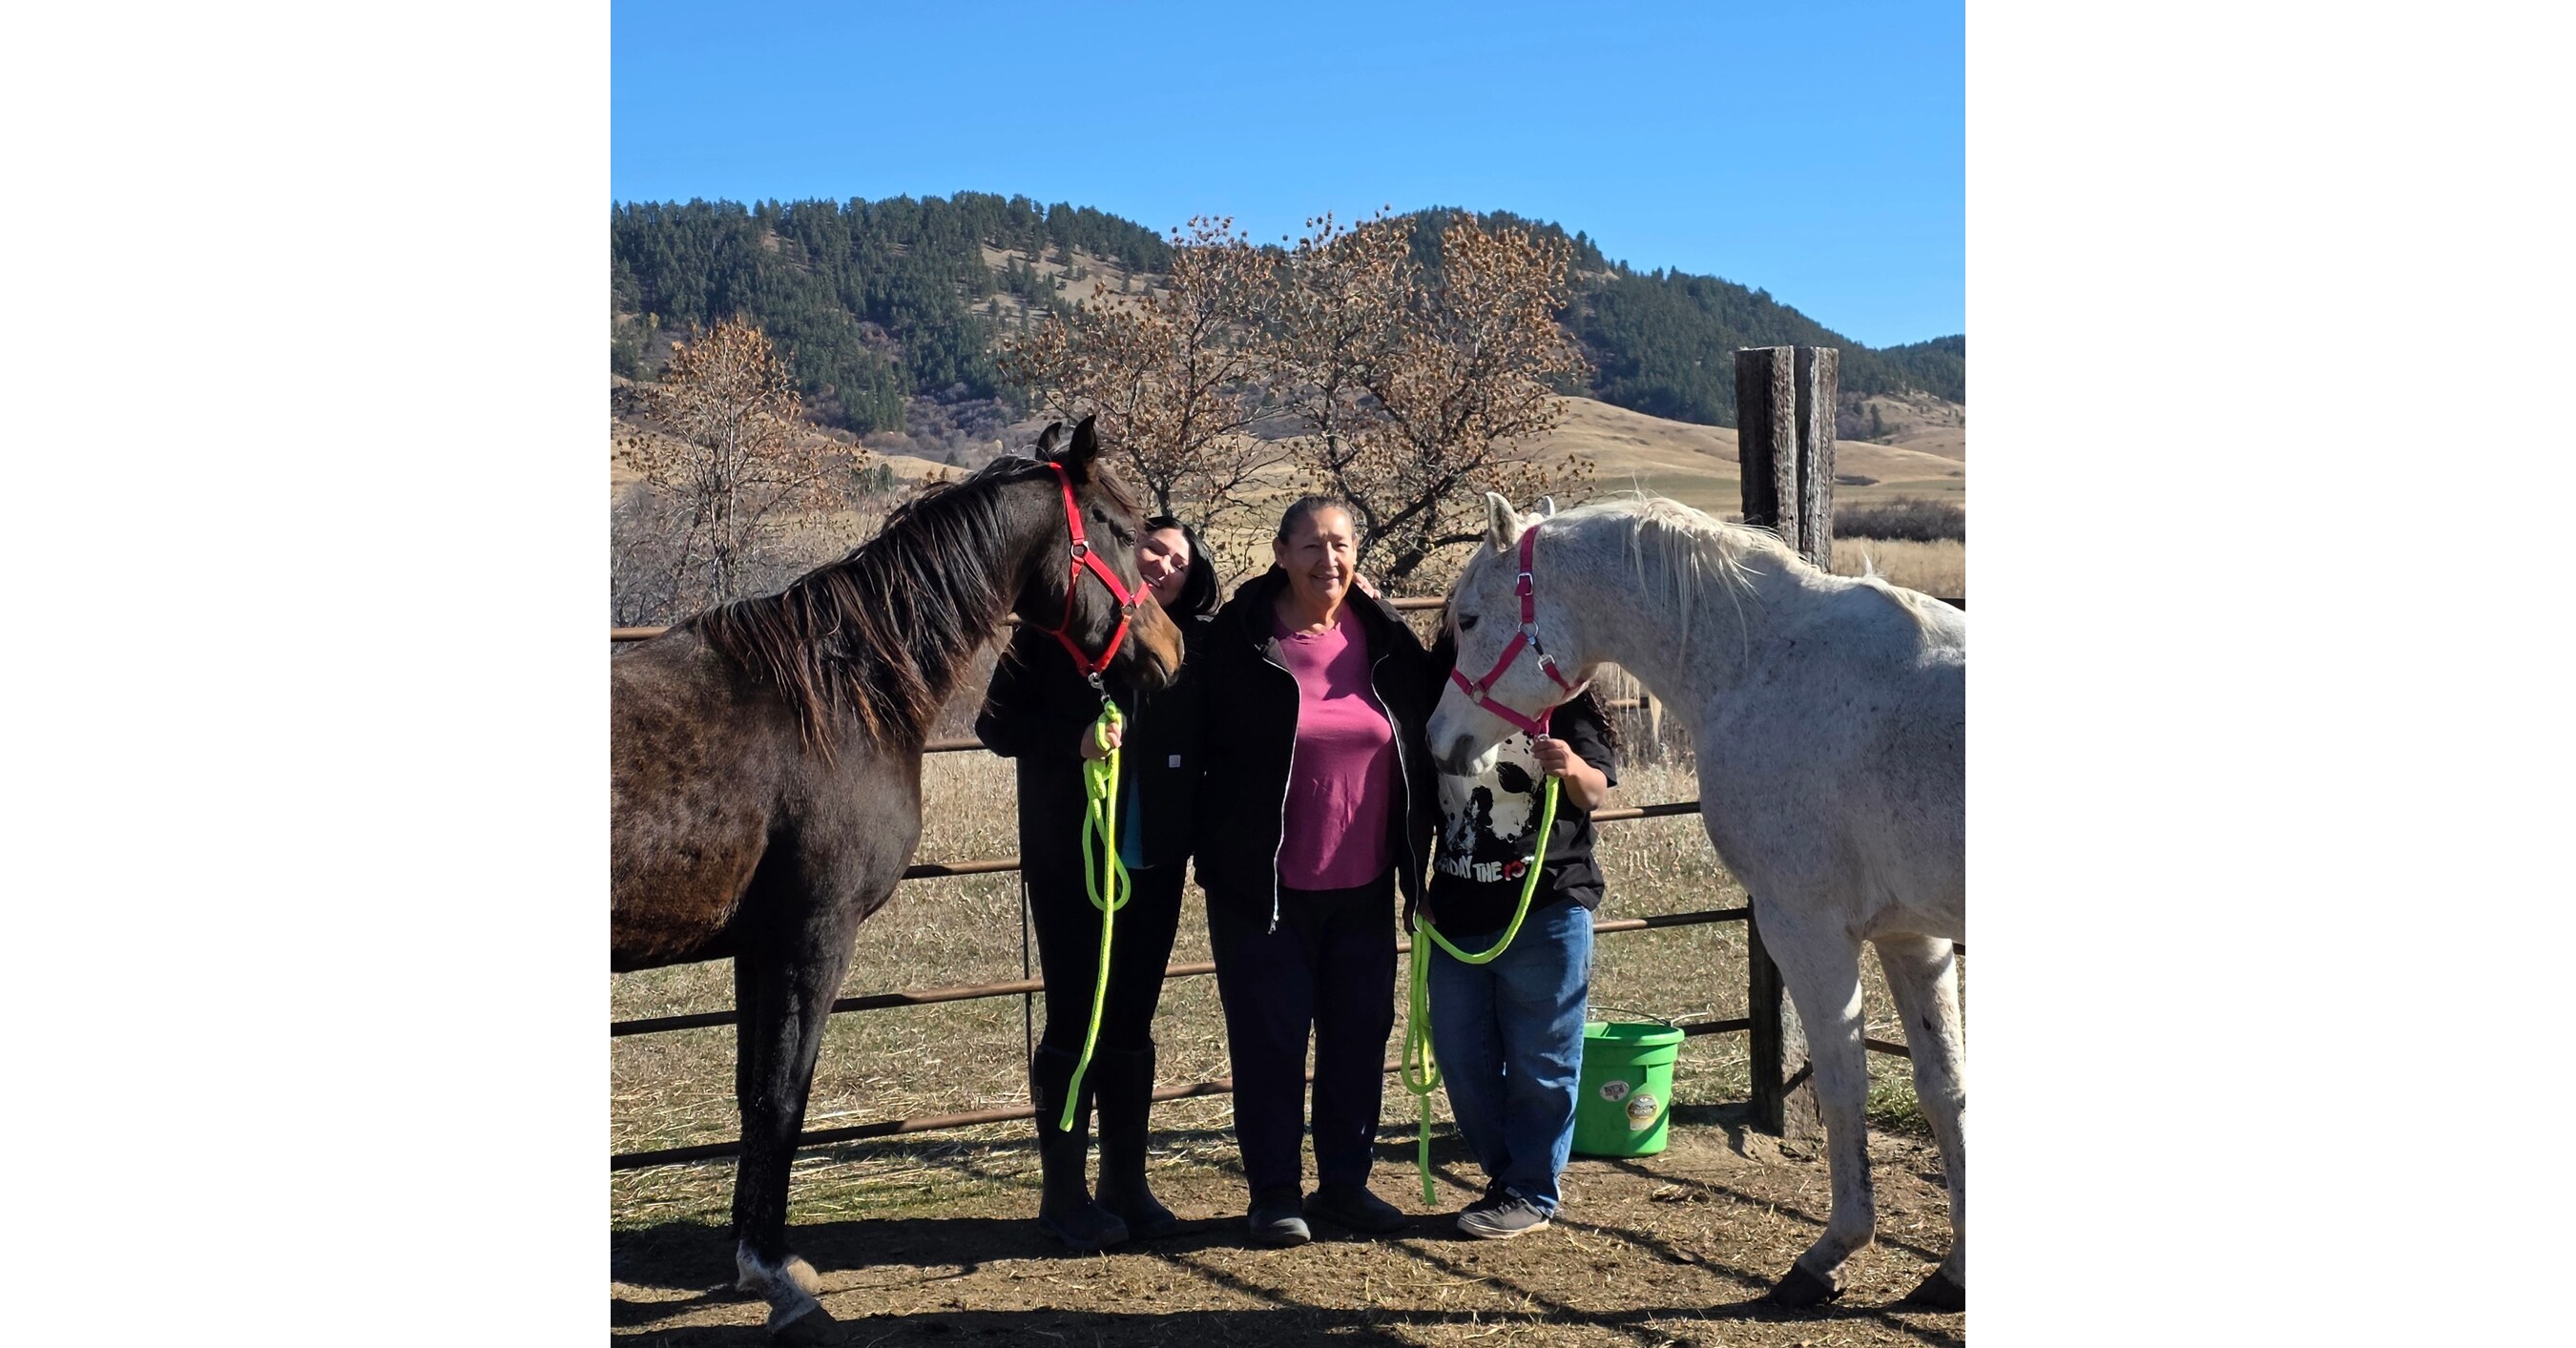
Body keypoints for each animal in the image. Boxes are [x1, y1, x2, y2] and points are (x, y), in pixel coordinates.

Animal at [612, 418, 1184, 1344]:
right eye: (1122, 531)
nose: (1172, 650)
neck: (839, 693)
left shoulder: (757, 948)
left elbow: (751, 1095)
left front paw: (753, 1258)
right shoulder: (813, 937)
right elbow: (783, 1098)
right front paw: (777, 1275)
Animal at [1427, 491, 1966, 1312]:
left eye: (1467, 618)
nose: (1439, 739)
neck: (1765, 663)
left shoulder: (1806, 927)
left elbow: (1846, 1086)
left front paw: (1828, 1255)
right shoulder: (1915, 936)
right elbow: (1945, 1088)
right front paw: (1954, 1270)